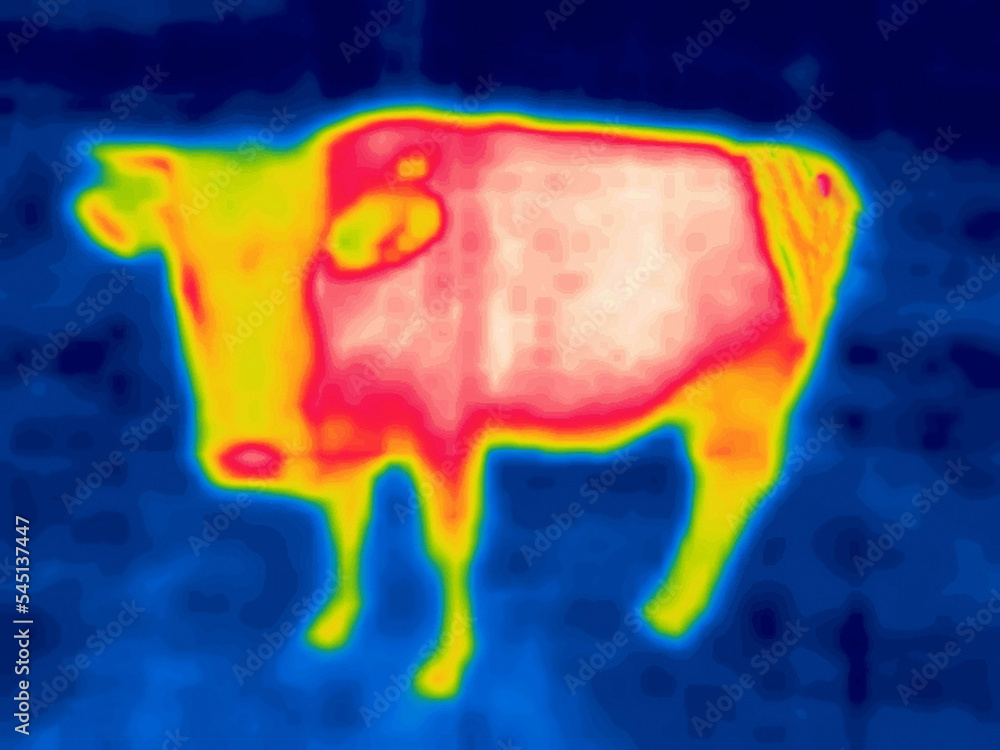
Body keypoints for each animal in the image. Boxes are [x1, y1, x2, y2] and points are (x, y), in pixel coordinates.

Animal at [73, 107, 859, 698]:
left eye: (317, 263)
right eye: (188, 278)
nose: (251, 454)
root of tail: (796, 165)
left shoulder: (446, 438)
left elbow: (446, 543)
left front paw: (443, 668)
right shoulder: (349, 446)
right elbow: (347, 522)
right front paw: (334, 624)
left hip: (746, 395)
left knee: (732, 484)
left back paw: (669, 612)